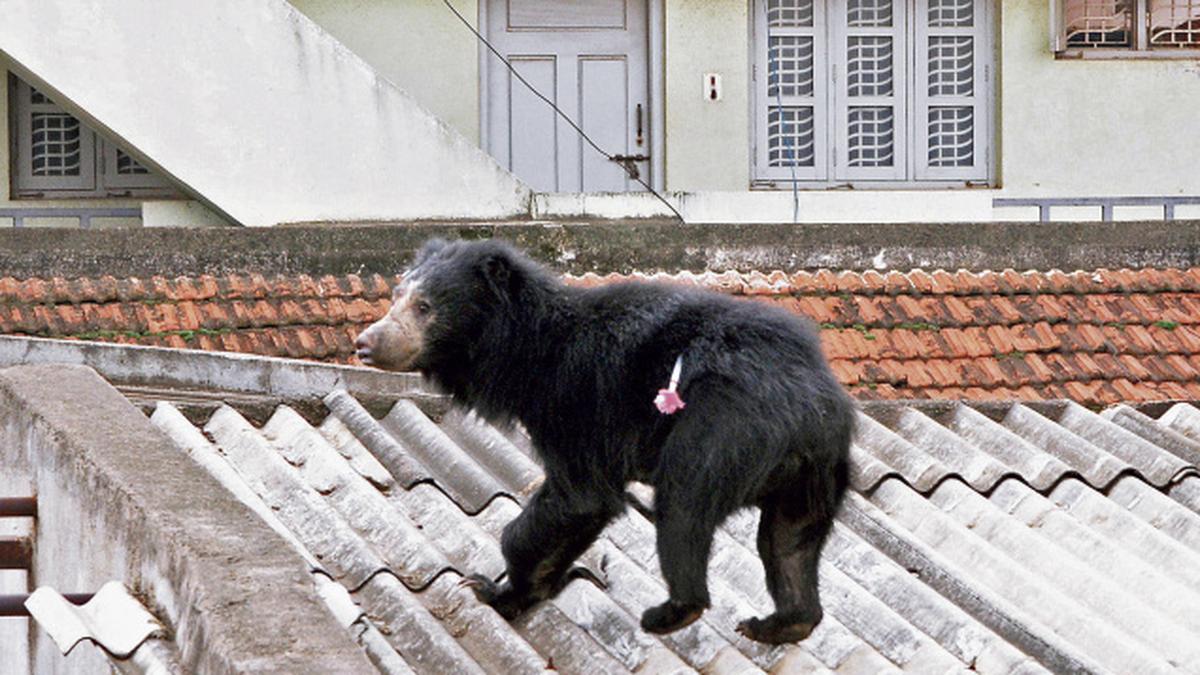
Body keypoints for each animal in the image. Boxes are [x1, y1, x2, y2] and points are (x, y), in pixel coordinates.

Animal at [354, 238, 854, 643]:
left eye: (424, 307)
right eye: (396, 296)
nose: (364, 343)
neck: (526, 349)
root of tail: (812, 404)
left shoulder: (576, 405)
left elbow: (578, 497)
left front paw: (492, 587)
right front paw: (531, 586)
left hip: (722, 430)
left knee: (682, 508)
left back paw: (672, 611)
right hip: (814, 475)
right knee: (789, 540)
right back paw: (783, 622)